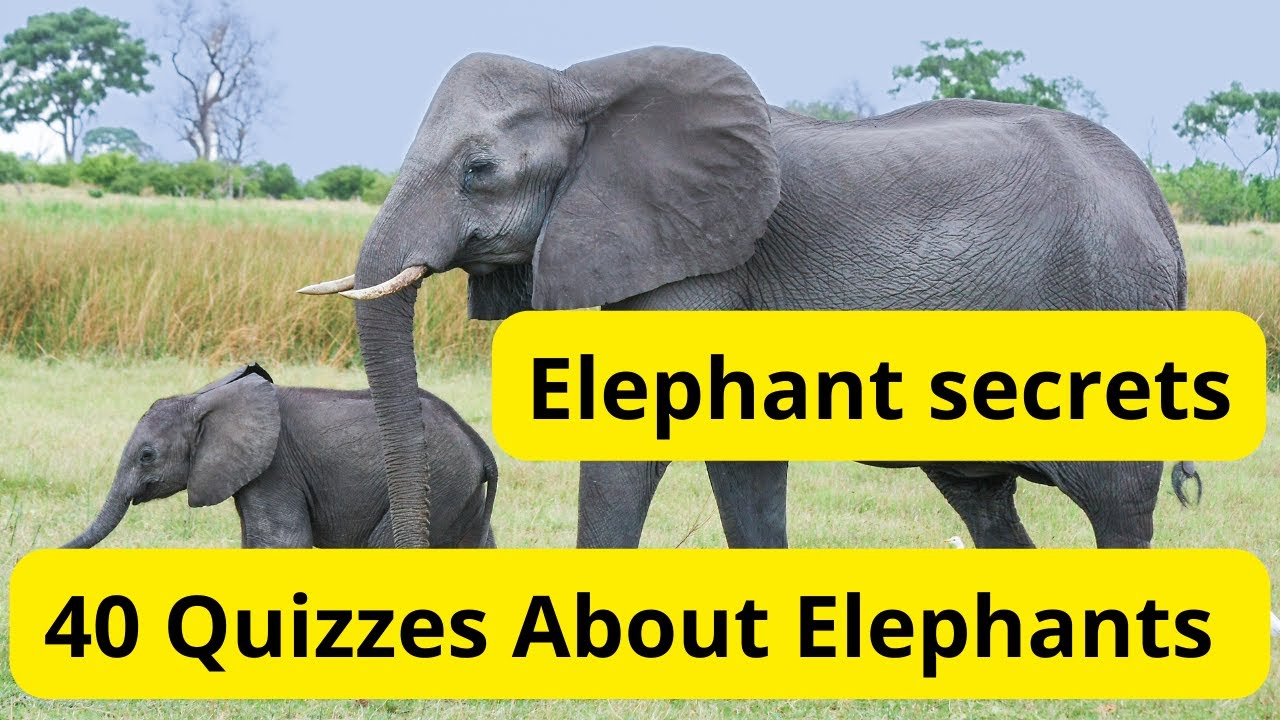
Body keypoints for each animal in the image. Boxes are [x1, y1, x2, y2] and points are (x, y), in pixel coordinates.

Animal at [62, 364, 497, 549]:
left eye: (147, 456)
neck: (206, 399)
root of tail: (479, 445)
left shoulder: (276, 469)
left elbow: (281, 542)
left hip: (437, 481)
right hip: (460, 493)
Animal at [300, 46, 1189, 551]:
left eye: (479, 169)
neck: (583, 84)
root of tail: (1155, 204)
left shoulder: (704, 261)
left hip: (1111, 302)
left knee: (1117, 502)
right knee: (982, 499)